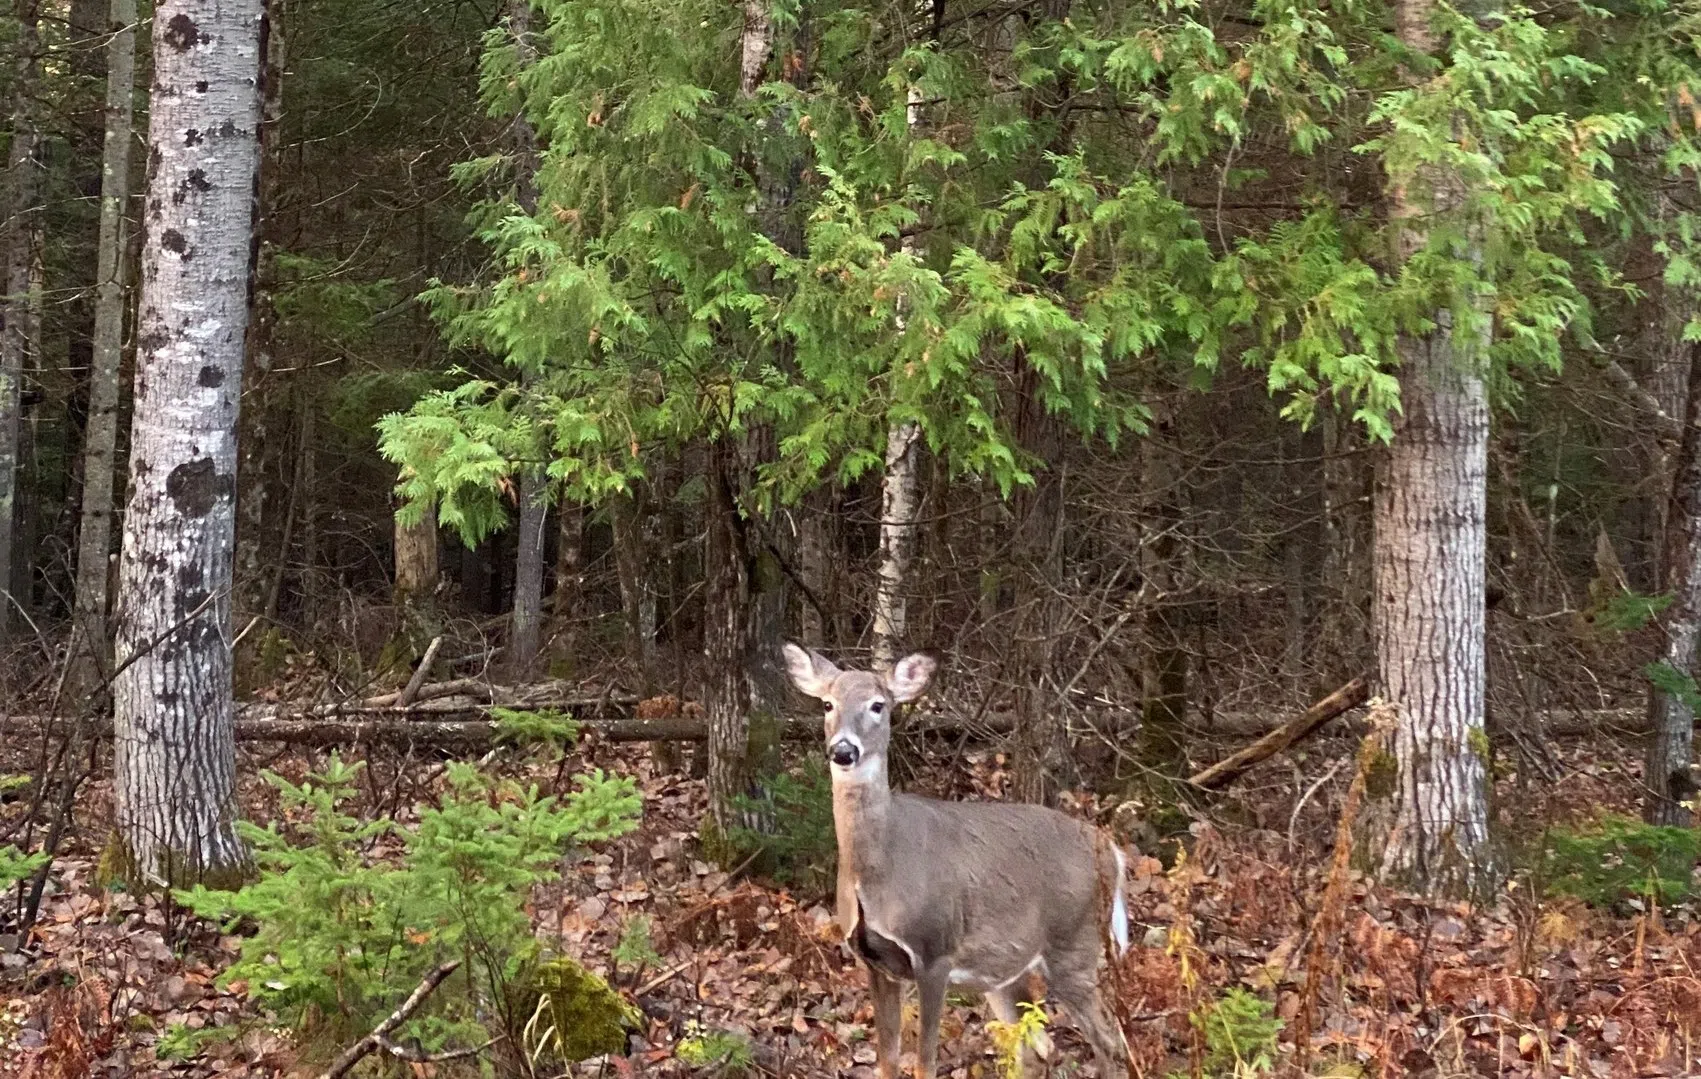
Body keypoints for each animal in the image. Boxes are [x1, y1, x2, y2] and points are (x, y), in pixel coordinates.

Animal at [782, 642, 1132, 1079]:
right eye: (828, 703)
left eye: (879, 705)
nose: (843, 751)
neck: (880, 869)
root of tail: (1112, 851)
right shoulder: (875, 963)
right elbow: (887, 1060)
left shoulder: (935, 950)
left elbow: (925, 1063)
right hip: (1003, 970)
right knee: (1036, 1050)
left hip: (1074, 944)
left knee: (1110, 1044)